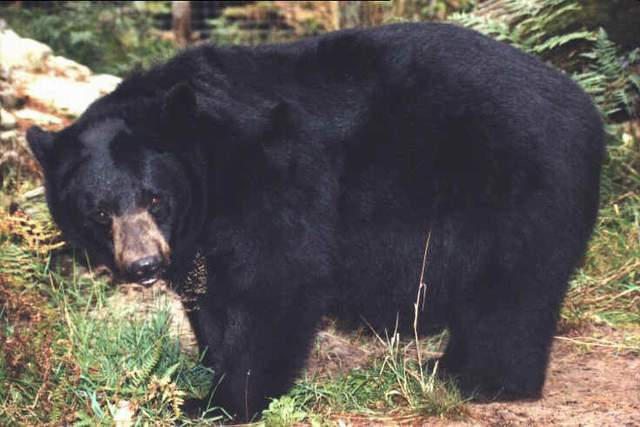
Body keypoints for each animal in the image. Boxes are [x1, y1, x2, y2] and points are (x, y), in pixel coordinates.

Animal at [27, 22, 604, 422]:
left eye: (154, 198)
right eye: (100, 212)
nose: (145, 266)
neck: (212, 155)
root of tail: (586, 109)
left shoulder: (275, 173)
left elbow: (276, 279)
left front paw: (221, 401)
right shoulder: (201, 236)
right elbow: (211, 294)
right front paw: (210, 370)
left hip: (521, 185)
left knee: (510, 295)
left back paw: (483, 380)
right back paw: (445, 366)